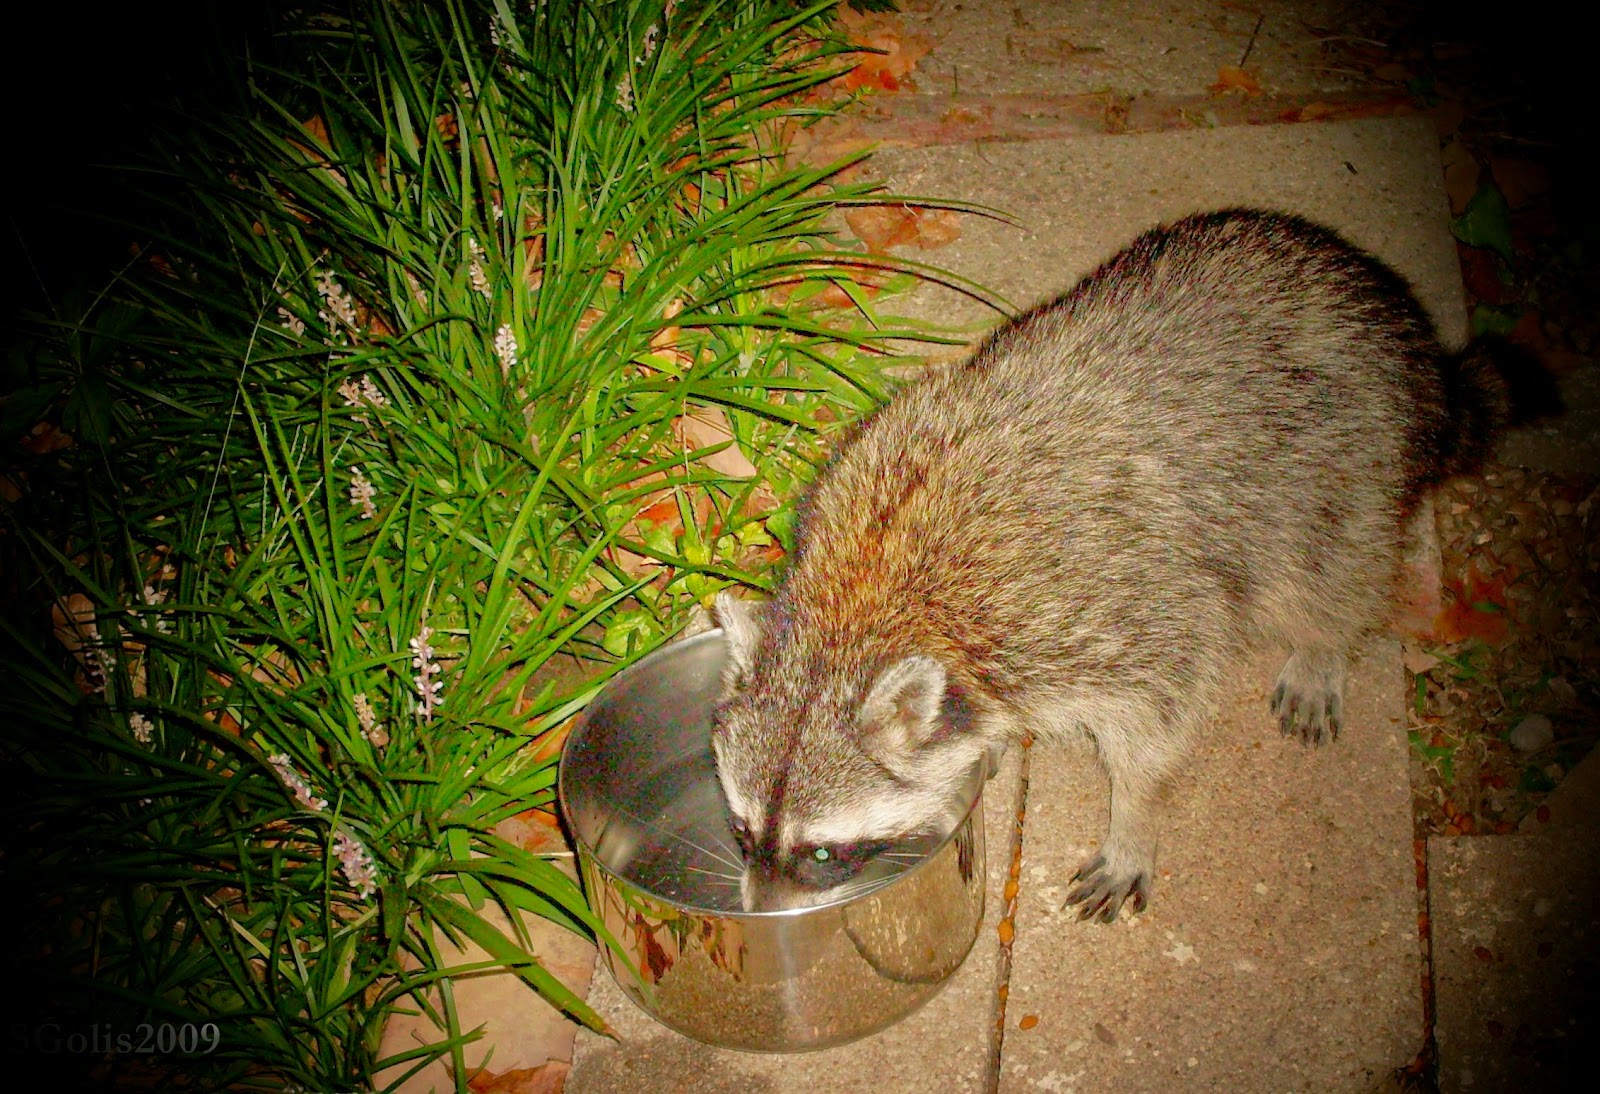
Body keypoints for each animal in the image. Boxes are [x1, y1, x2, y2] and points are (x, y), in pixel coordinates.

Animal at [710, 208, 1519, 919]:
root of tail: (1395, 314)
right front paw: (991, 746)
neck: (862, 598)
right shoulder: (860, 468)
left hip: (1345, 457)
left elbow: (1158, 719)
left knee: (1329, 565)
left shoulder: (1103, 609)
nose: (758, 916)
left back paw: (1324, 639)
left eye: (821, 853)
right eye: (743, 831)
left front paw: (1136, 817)